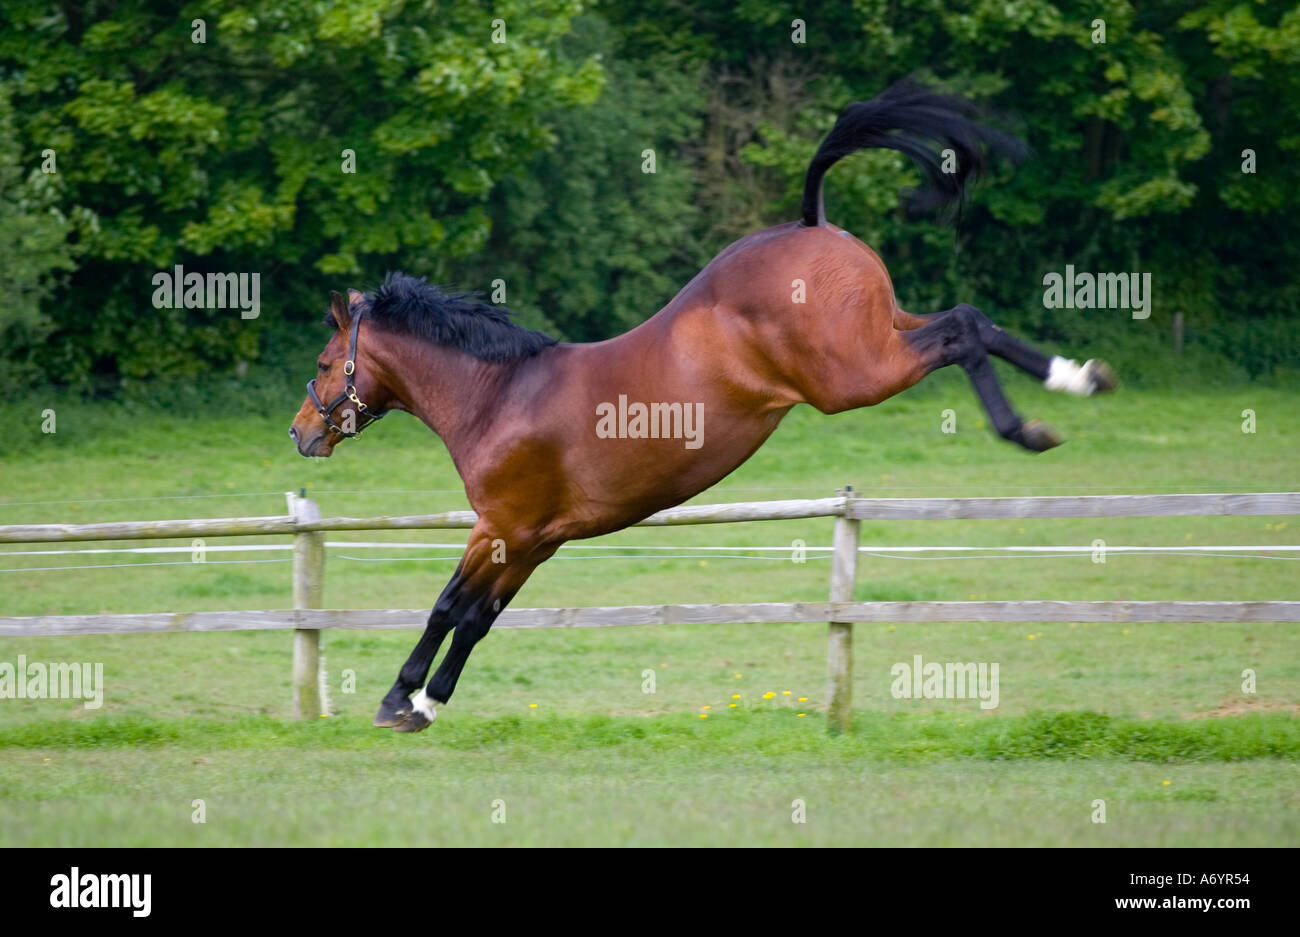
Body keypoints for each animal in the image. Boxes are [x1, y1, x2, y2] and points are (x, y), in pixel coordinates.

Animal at [288, 81, 1117, 732]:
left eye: (325, 364)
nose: (300, 434)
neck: (498, 396)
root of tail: (810, 222)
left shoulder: (501, 528)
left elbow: (446, 607)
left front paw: (401, 700)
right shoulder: (532, 541)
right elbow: (479, 618)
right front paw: (428, 701)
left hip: (856, 373)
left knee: (961, 335)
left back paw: (1024, 427)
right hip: (884, 331)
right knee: (971, 318)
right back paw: (1077, 379)